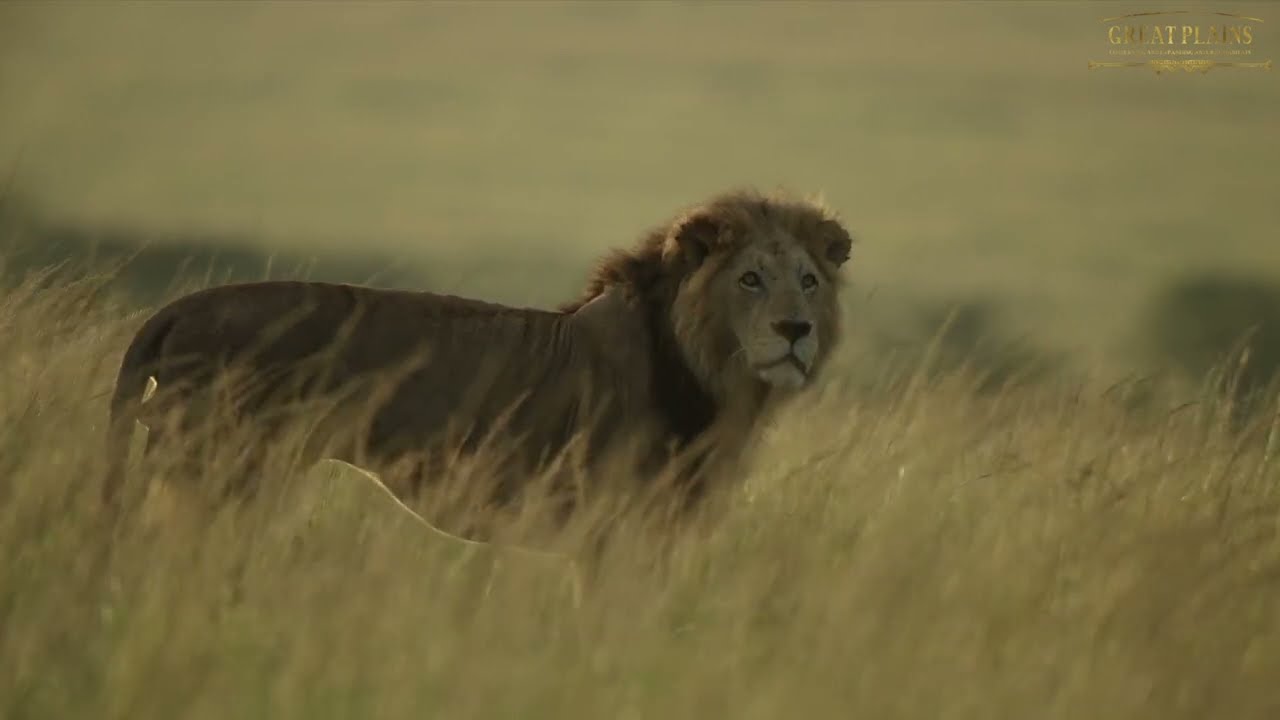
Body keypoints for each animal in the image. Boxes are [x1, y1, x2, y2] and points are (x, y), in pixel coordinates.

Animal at [102, 188, 854, 547]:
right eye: (751, 280)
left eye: (808, 281)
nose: (796, 330)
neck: (717, 380)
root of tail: (179, 307)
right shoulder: (612, 534)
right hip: (219, 475)